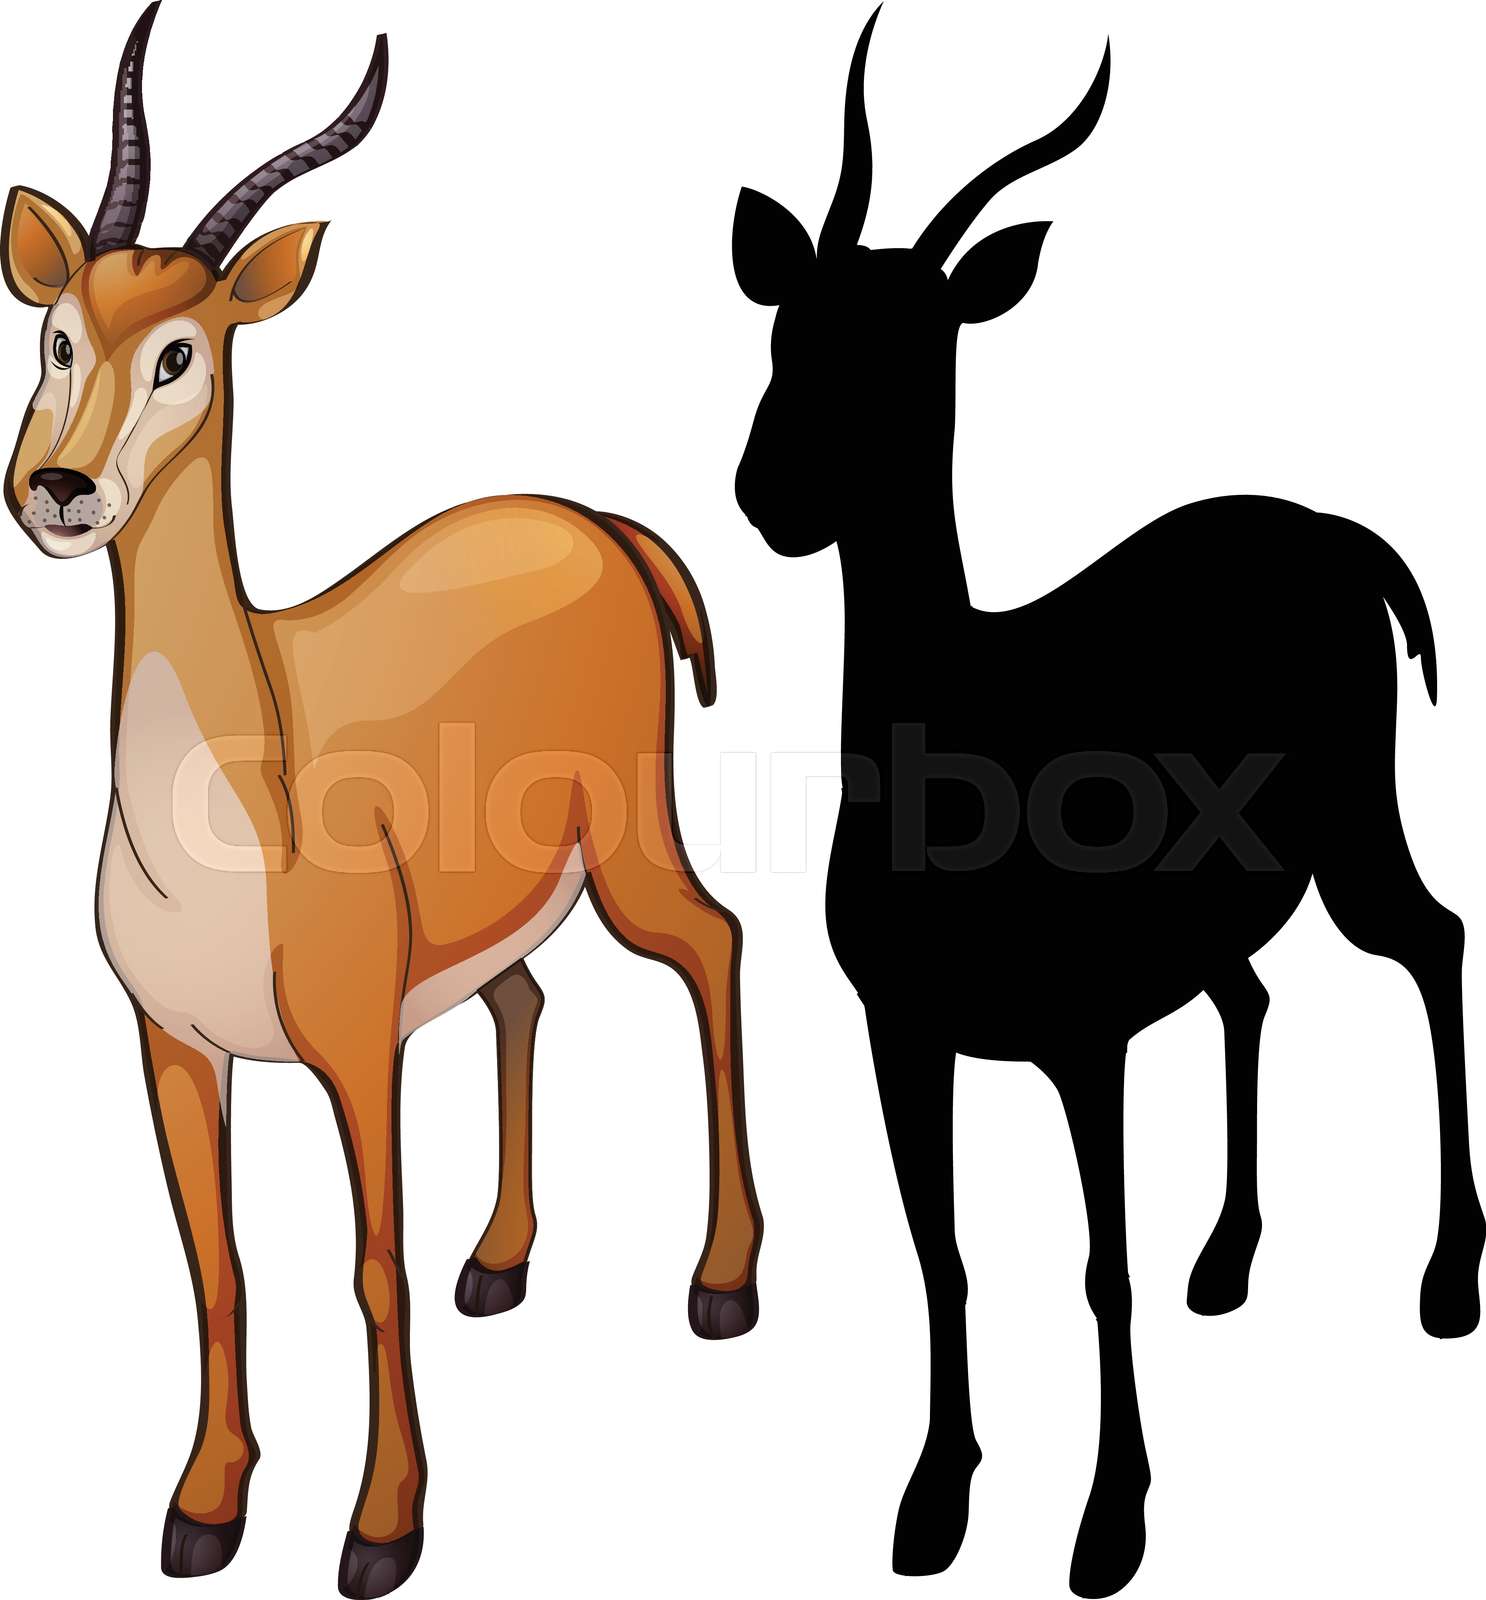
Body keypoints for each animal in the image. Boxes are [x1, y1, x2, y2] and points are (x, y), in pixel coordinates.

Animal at [5, 8, 761, 1595]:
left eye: (183, 349)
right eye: (57, 329)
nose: (56, 489)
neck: (238, 790)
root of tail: (600, 523)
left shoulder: (355, 1047)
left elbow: (371, 1264)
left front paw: (383, 1527)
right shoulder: (171, 1045)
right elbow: (216, 1267)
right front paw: (204, 1509)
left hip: (634, 853)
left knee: (717, 946)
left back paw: (722, 1286)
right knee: (526, 996)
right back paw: (504, 1263)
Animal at [733, 10, 1482, 1595]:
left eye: (919, 346)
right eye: (785, 323)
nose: (771, 493)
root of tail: (1334, 533)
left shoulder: (1083, 1043)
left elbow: (1098, 1267)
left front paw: (1111, 1522)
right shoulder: (901, 1030)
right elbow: (941, 1254)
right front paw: (933, 1503)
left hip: (1354, 833)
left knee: (1435, 940)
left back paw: (1448, 1282)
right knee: (1252, 991)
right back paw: (1230, 1260)